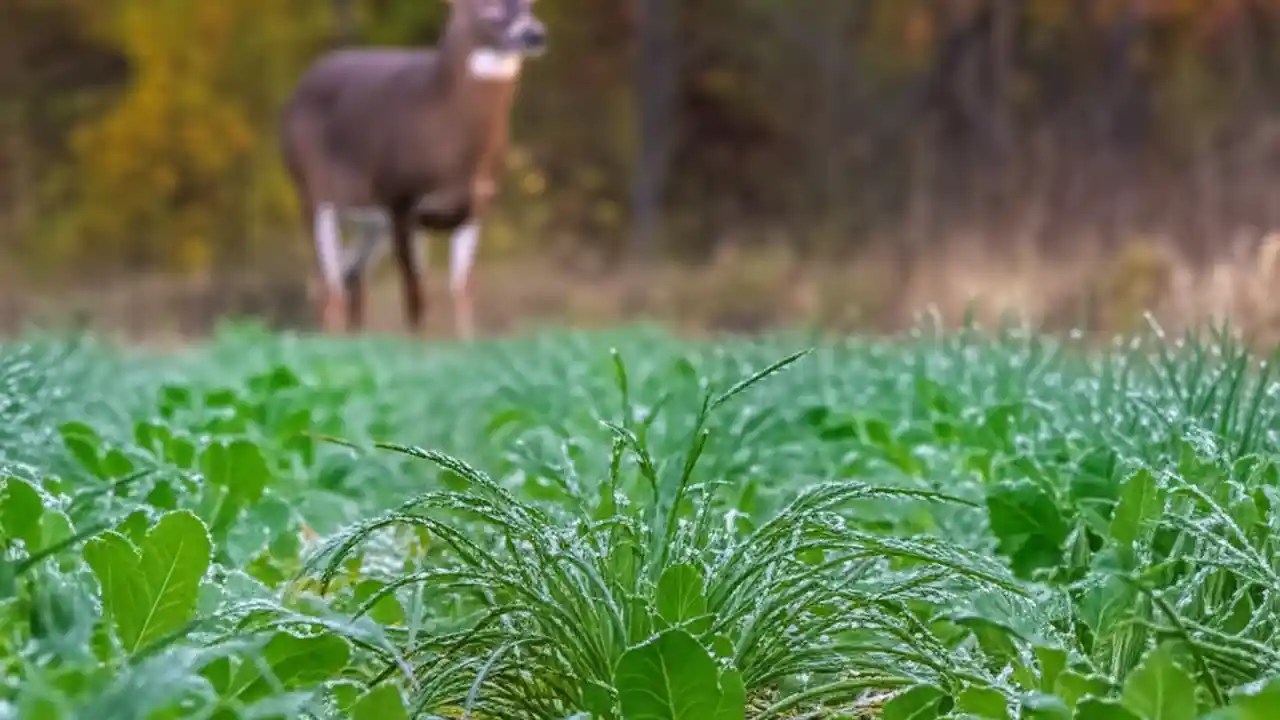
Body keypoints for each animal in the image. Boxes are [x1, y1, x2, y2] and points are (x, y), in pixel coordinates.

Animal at [280, 0, 547, 339]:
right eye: (490, 8)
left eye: (530, 4)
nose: (536, 34)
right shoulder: (401, 198)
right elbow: (415, 289)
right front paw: (418, 344)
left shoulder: (476, 204)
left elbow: (462, 285)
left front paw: (466, 340)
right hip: (311, 189)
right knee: (327, 283)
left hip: (371, 217)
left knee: (349, 273)